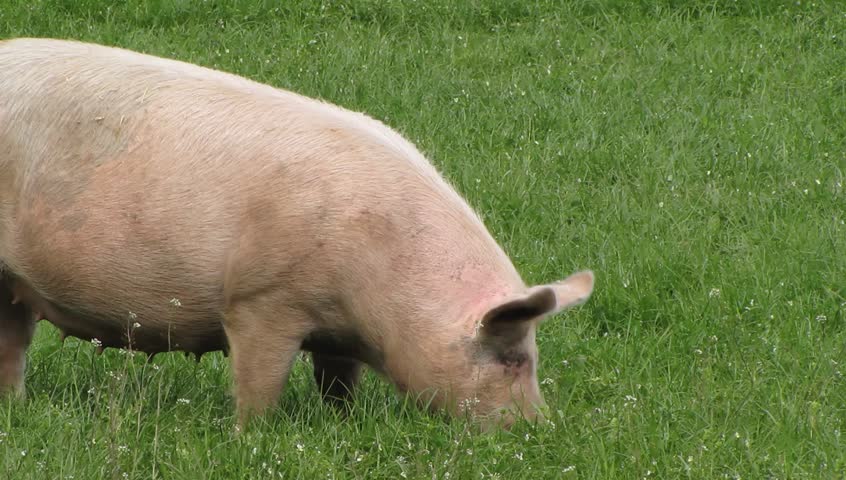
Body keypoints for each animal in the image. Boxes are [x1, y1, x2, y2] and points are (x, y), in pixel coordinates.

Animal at [0, 37, 594, 430]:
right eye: (512, 358)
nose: (542, 430)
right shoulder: (260, 300)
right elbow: (259, 384)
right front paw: (251, 437)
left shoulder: (339, 334)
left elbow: (339, 382)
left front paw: (342, 422)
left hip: (14, 289)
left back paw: (17, 409)